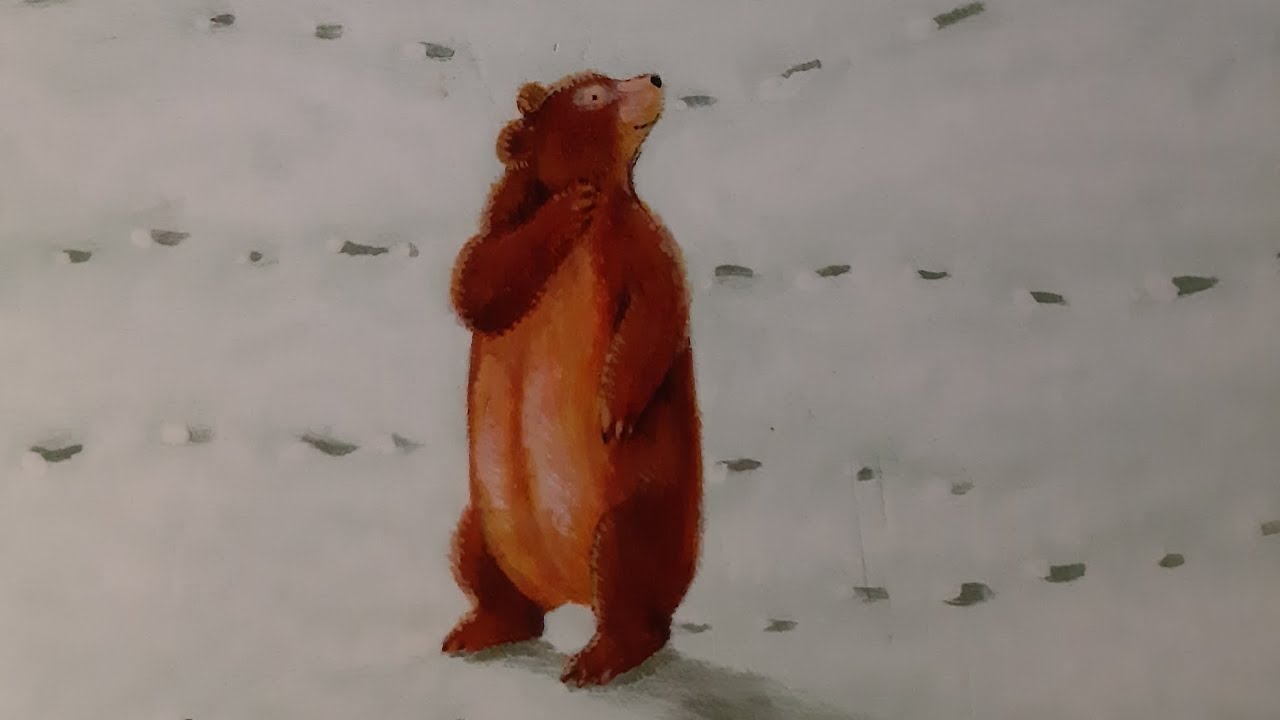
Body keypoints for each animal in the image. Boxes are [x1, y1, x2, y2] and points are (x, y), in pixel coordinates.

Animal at [442, 70, 704, 688]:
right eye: (594, 93)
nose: (655, 76)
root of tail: (565, 593)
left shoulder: (636, 238)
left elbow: (658, 306)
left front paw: (613, 412)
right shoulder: (507, 213)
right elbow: (478, 279)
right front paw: (565, 209)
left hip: (636, 516)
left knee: (625, 568)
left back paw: (598, 657)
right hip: (486, 521)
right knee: (476, 558)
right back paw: (478, 630)